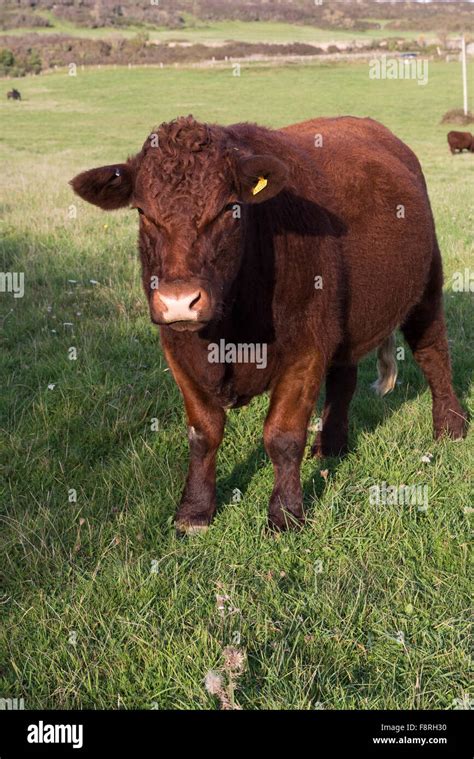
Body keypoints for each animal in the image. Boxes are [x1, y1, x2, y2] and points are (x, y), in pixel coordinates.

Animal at [71, 115, 467, 533]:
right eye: (143, 213)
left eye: (230, 208)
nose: (180, 300)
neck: (228, 332)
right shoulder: (178, 351)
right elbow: (203, 433)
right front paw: (194, 511)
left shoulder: (305, 349)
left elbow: (282, 435)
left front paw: (286, 513)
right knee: (343, 379)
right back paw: (331, 446)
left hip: (426, 286)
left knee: (433, 354)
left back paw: (450, 427)